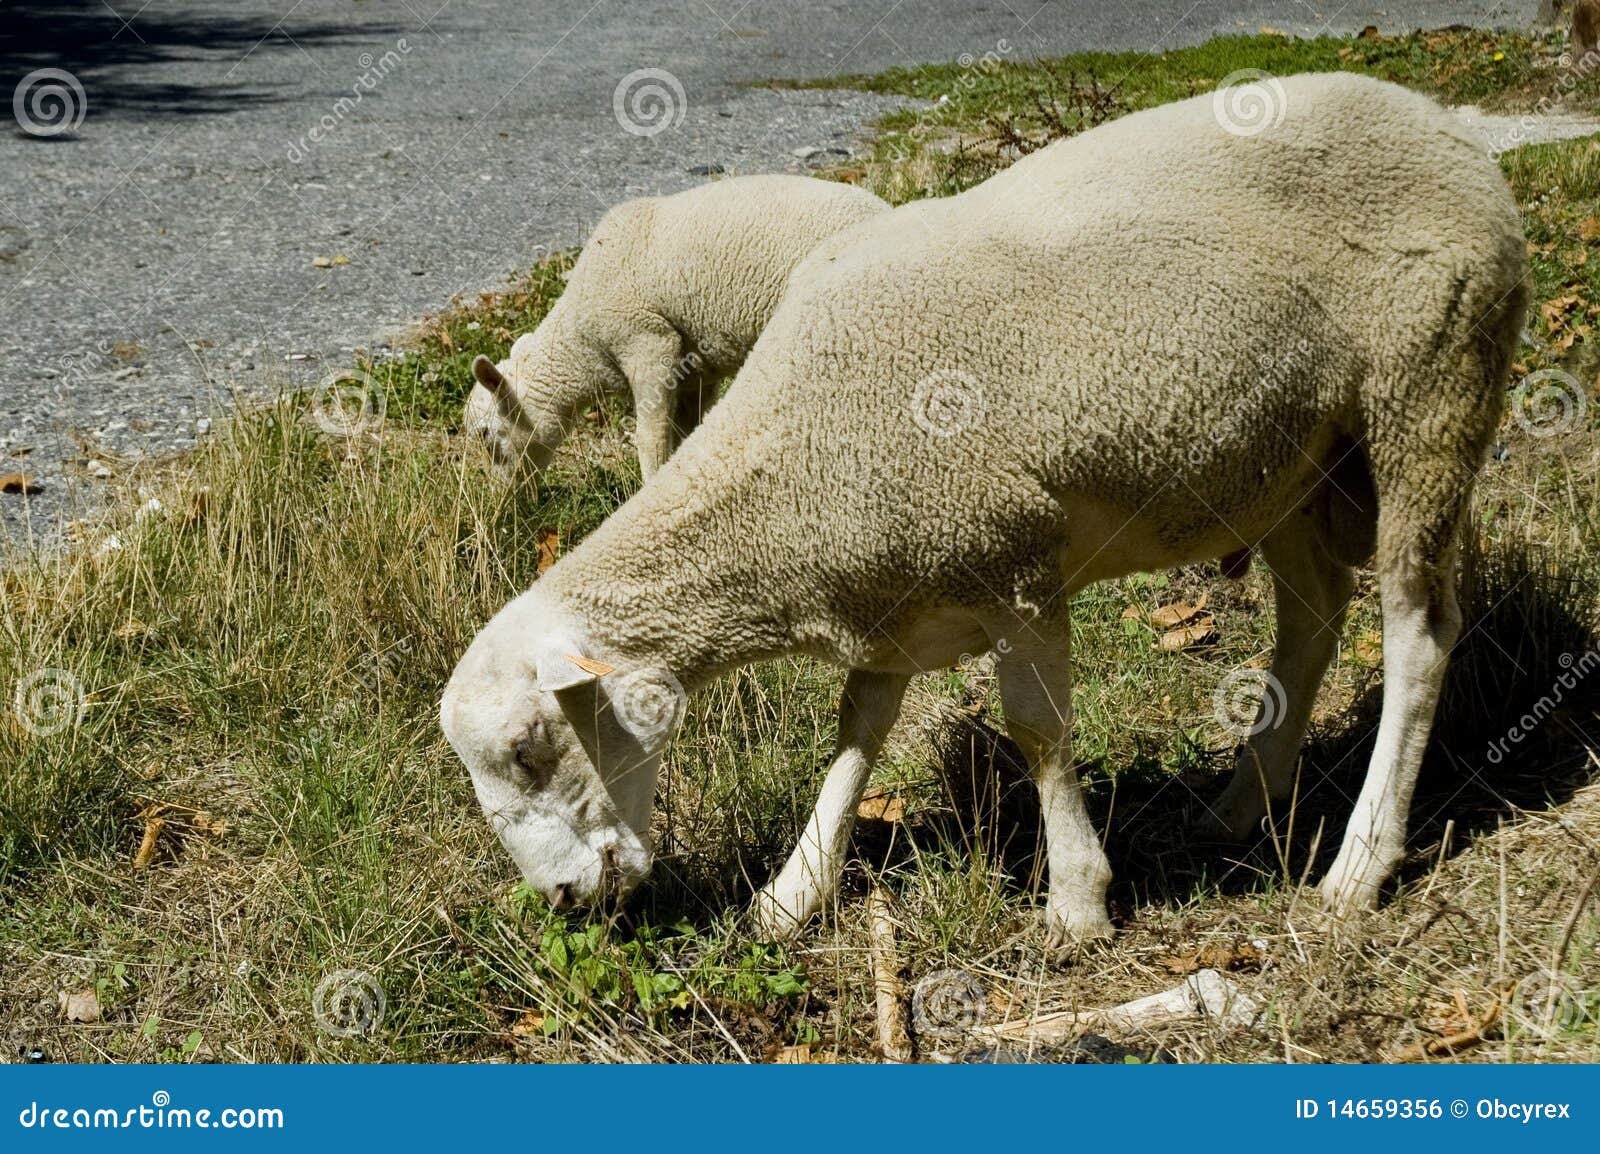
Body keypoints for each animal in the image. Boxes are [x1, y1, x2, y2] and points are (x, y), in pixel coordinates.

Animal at [463, 174, 887, 483]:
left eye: (488, 436)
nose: (503, 505)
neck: (582, 347)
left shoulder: (648, 343)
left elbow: (649, 438)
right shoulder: (695, 375)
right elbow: (687, 434)